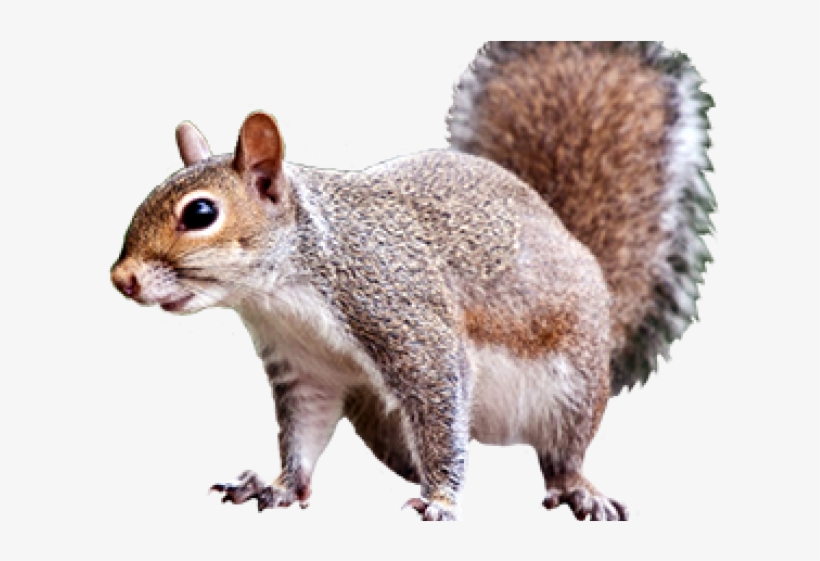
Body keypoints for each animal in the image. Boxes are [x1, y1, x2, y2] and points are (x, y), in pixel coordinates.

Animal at [111, 41, 714, 521]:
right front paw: (280, 487)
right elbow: (305, 429)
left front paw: (441, 500)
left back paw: (577, 489)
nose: (121, 279)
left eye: (200, 213)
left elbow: (439, 404)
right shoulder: (306, 366)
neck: (284, 292)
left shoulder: (402, 313)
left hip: (573, 384)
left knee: (561, 454)